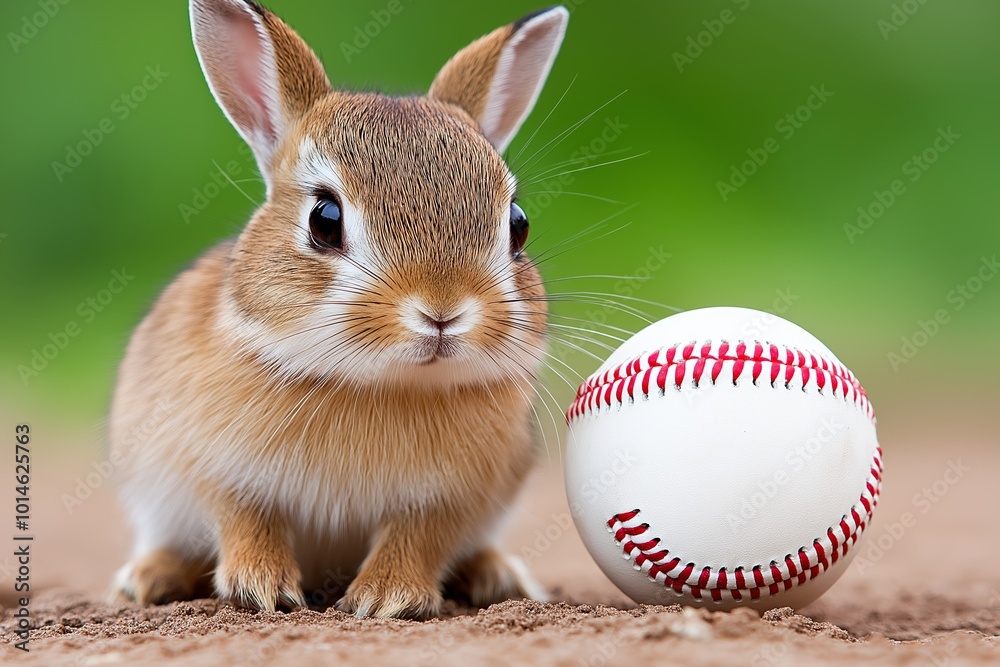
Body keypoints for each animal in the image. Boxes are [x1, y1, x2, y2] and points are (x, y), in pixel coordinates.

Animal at [108, 0, 568, 619]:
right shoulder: (219, 473)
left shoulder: (448, 502)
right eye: (324, 219)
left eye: (518, 225)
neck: (375, 381)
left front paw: (385, 598)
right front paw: (263, 589)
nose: (443, 311)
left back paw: (498, 577)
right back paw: (147, 580)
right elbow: (244, 520)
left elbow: (417, 537)